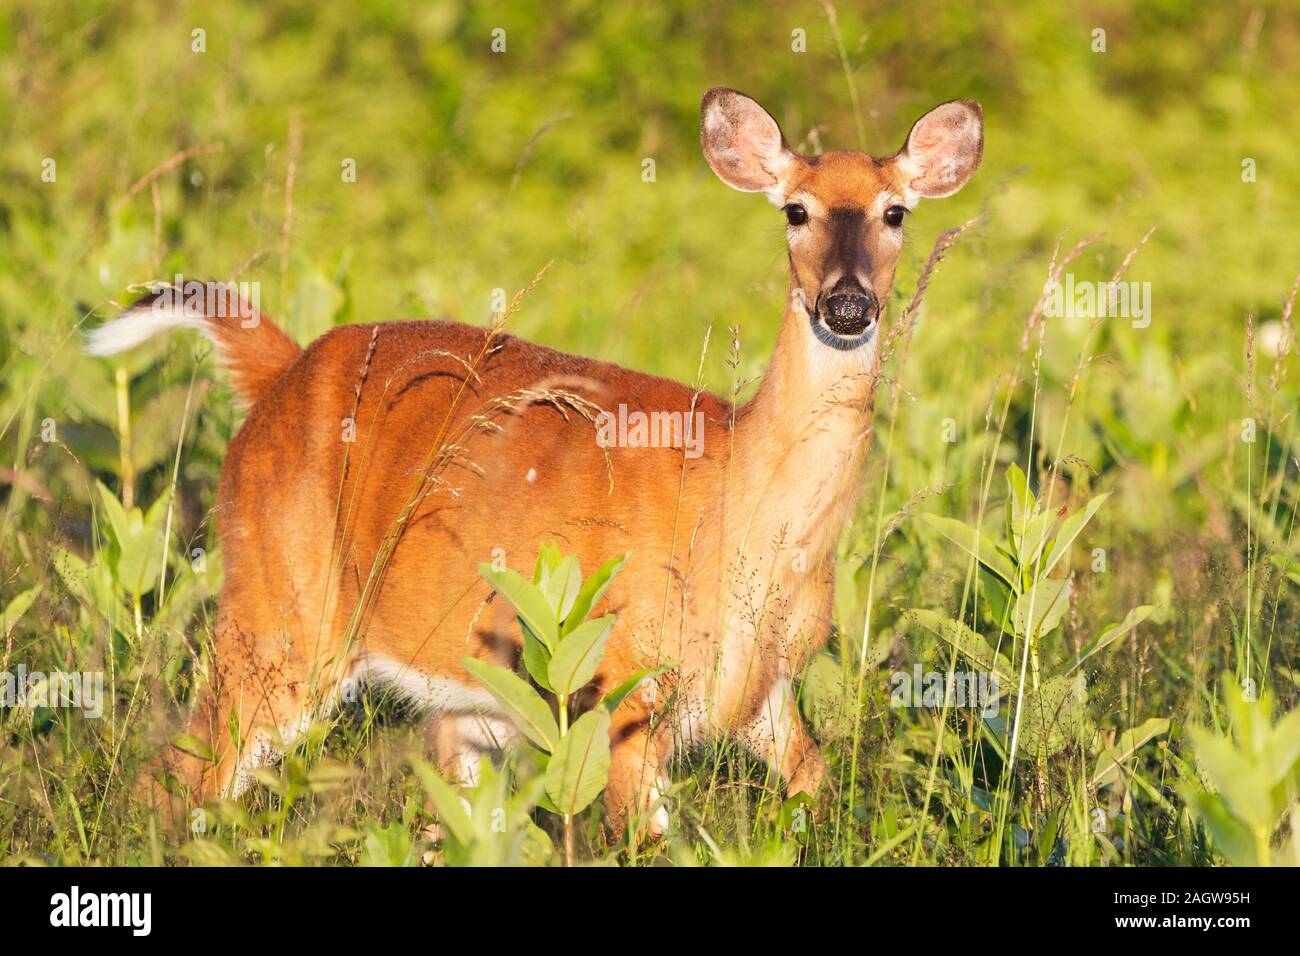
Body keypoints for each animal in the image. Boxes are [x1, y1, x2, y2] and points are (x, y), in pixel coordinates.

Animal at [88, 88, 982, 837]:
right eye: (796, 209)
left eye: (895, 212)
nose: (848, 303)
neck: (747, 512)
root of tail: (280, 374)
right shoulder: (623, 681)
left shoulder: (768, 691)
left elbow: (819, 787)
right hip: (281, 611)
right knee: (171, 782)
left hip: (457, 695)